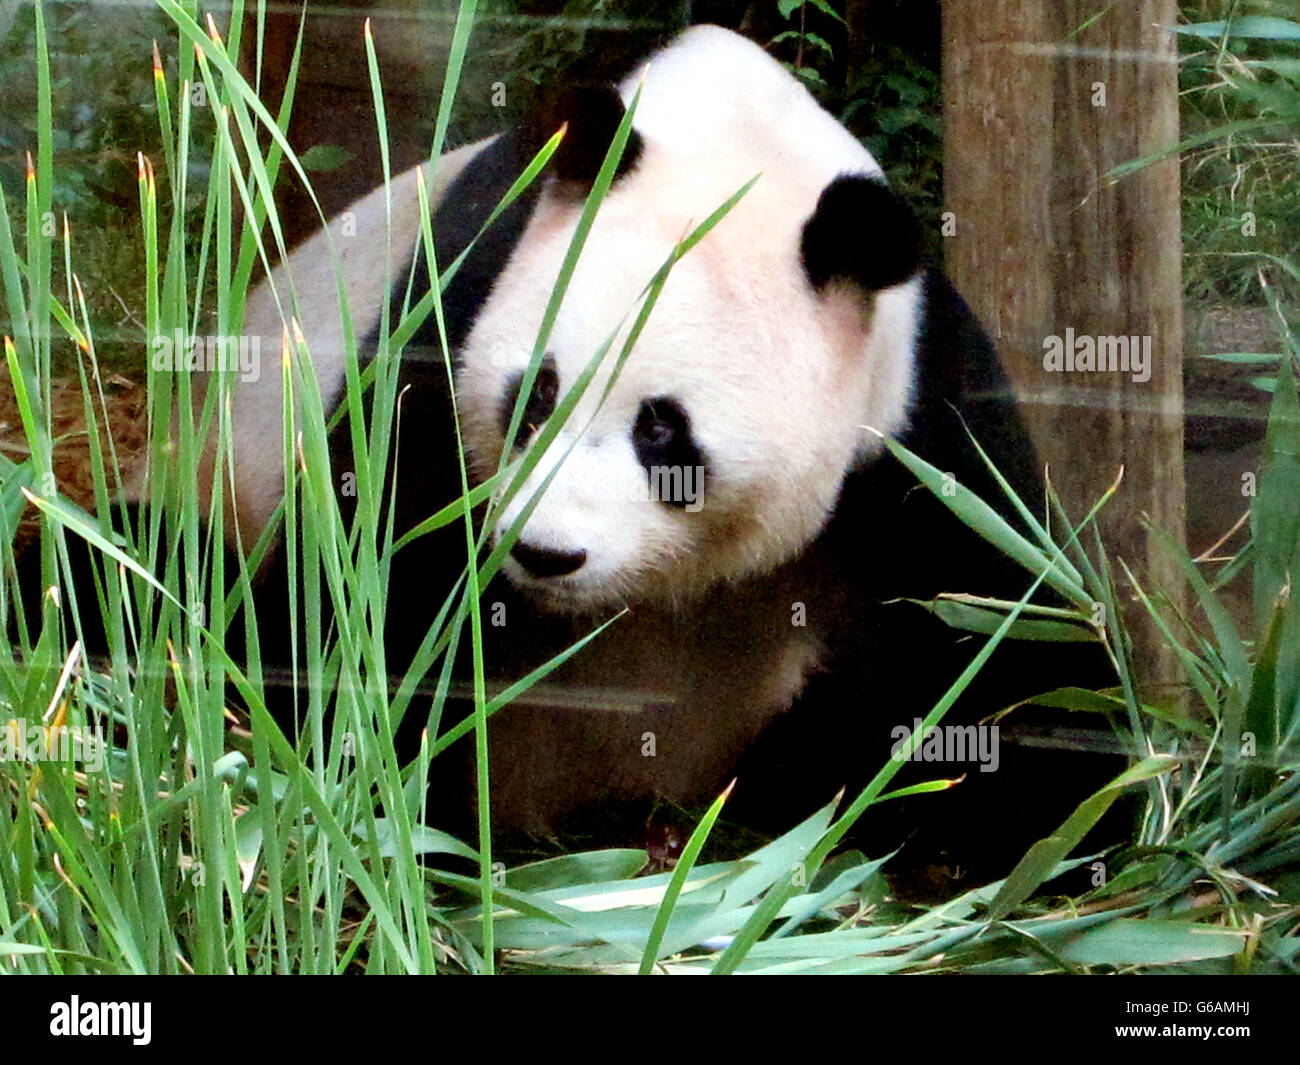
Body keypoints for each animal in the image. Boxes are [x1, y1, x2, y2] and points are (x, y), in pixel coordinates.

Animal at [195, 25, 1113, 878]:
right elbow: (371, 575)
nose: (545, 552)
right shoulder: (456, 301)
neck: (734, 143)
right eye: (538, 394)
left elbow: (1007, 634)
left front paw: (1005, 833)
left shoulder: (909, 421)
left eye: (662, 432)